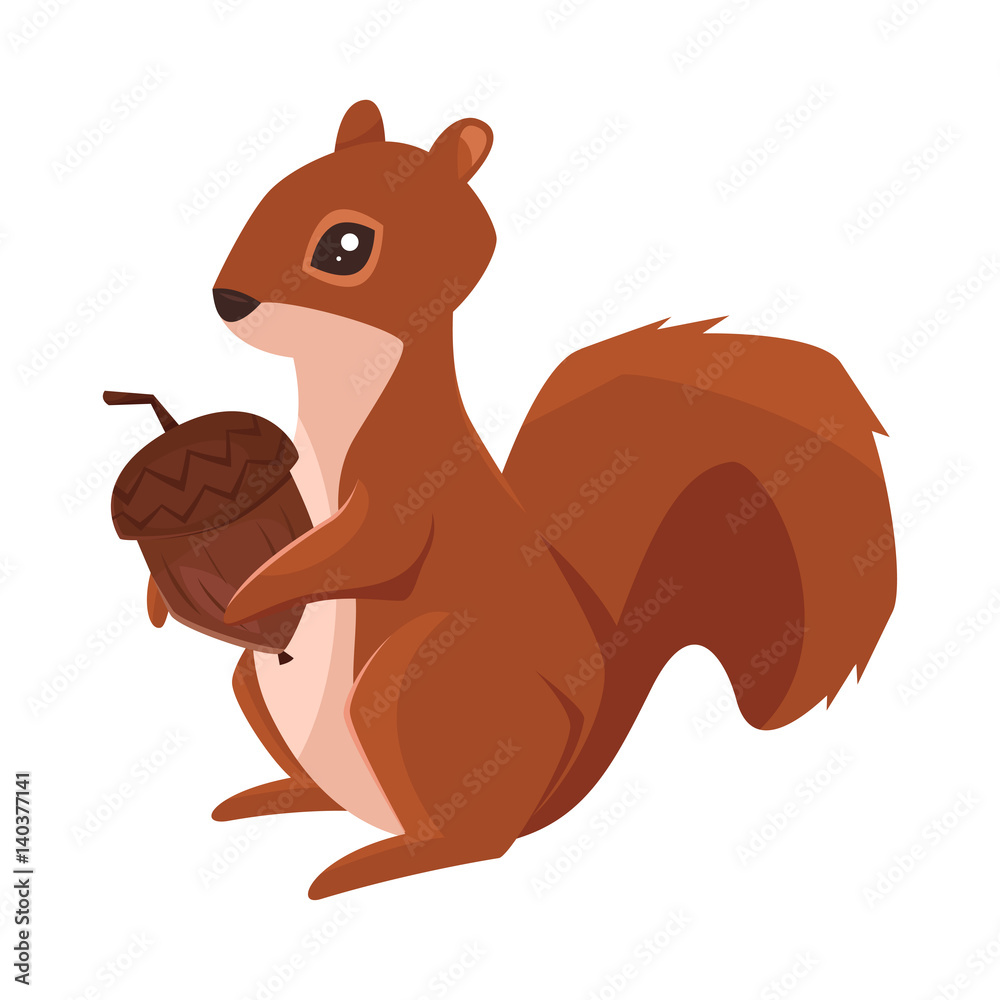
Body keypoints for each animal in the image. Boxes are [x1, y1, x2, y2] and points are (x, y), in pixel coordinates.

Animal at [148, 99, 895, 899]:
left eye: (347, 246)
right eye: (269, 195)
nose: (228, 300)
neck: (345, 384)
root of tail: (553, 791)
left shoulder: (408, 489)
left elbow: (371, 548)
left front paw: (255, 590)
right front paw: (172, 600)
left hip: (419, 678)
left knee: (478, 843)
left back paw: (380, 860)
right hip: (261, 683)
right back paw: (285, 796)